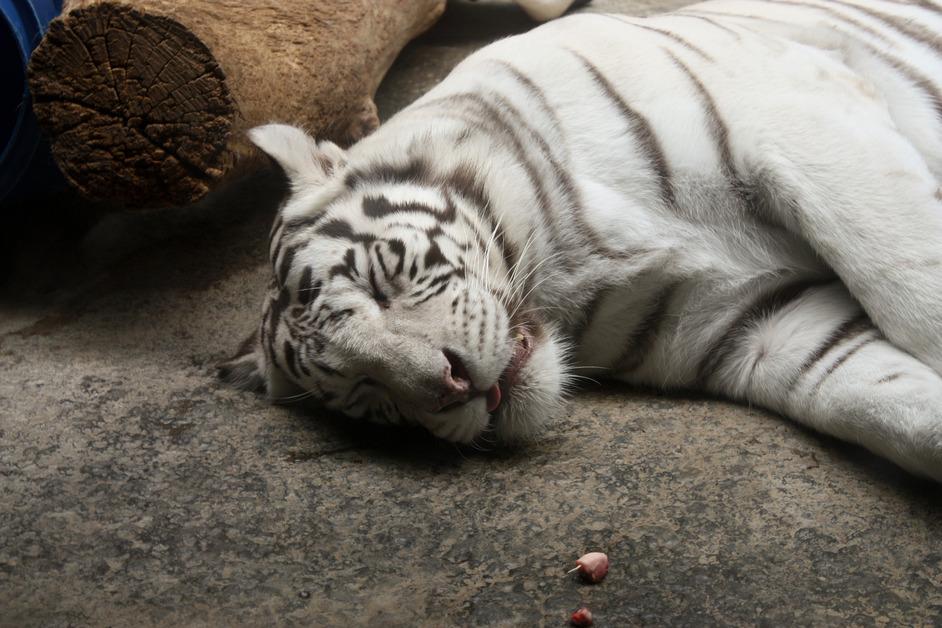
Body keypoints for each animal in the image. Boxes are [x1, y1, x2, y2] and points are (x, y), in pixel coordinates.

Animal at [220, 0, 942, 482]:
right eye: (363, 391)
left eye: (378, 281)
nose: (450, 387)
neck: (567, 260)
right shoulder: (753, 327)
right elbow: (882, 400)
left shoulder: (795, 112)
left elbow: (912, 288)